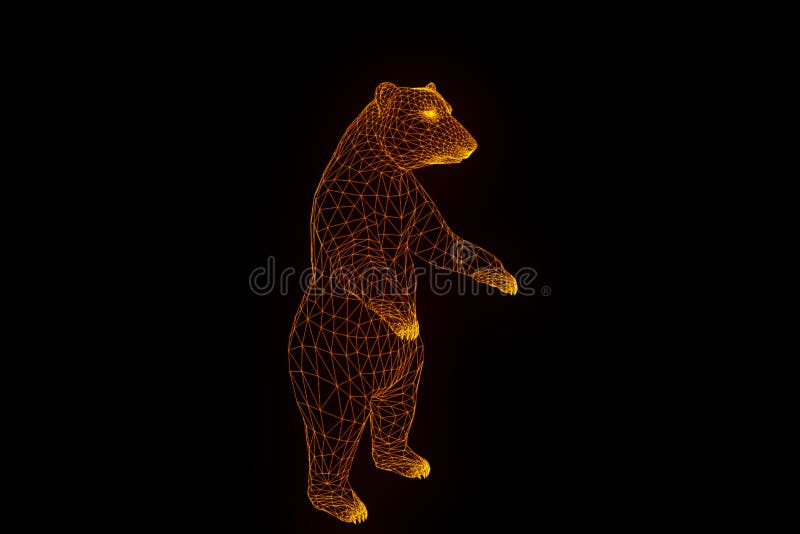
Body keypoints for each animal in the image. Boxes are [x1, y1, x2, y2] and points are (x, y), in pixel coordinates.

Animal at [288, 82, 517, 524]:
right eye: (427, 115)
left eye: (449, 108)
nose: (472, 144)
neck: (384, 171)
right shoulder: (351, 205)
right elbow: (362, 260)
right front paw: (406, 322)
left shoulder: (410, 200)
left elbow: (442, 242)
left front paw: (508, 279)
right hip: (331, 371)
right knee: (333, 430)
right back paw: (344, 503)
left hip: (408, 370)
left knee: (398, 408)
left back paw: (409, 461)